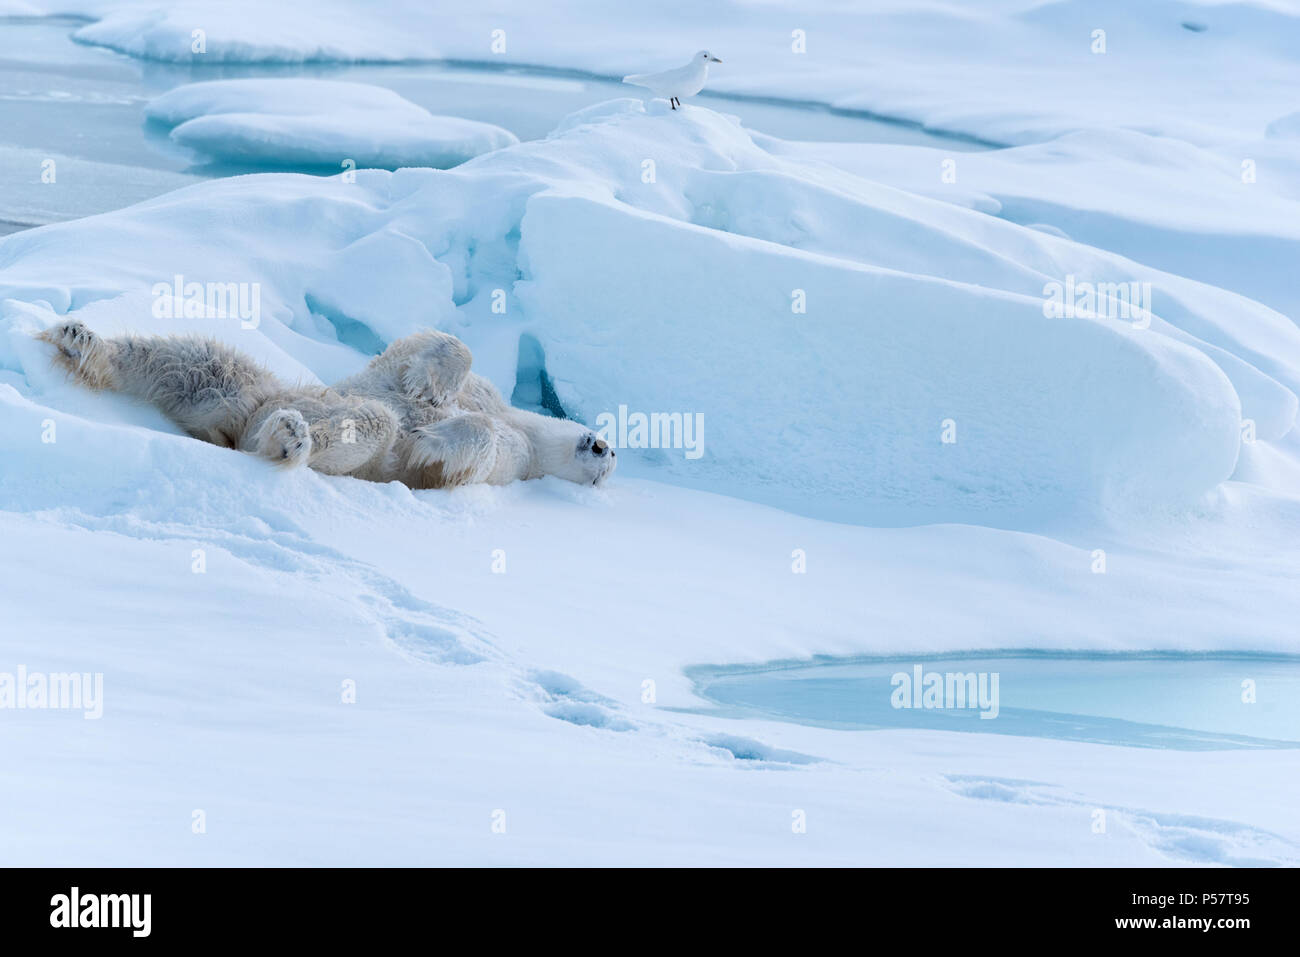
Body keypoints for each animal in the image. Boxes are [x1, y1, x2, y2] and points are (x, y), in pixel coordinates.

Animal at [38, 321, 616, 489]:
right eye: (608, 455)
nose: (606, 446)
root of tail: (233, 433)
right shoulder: (488, 394)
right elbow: (427, 350)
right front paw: (428, 386)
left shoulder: (511, 462)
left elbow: (469, 453)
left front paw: (431, 436)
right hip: (257, 391)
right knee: (193, 362)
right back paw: (80, 340)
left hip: (259, 405)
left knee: (370, 426)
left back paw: (289, 440)